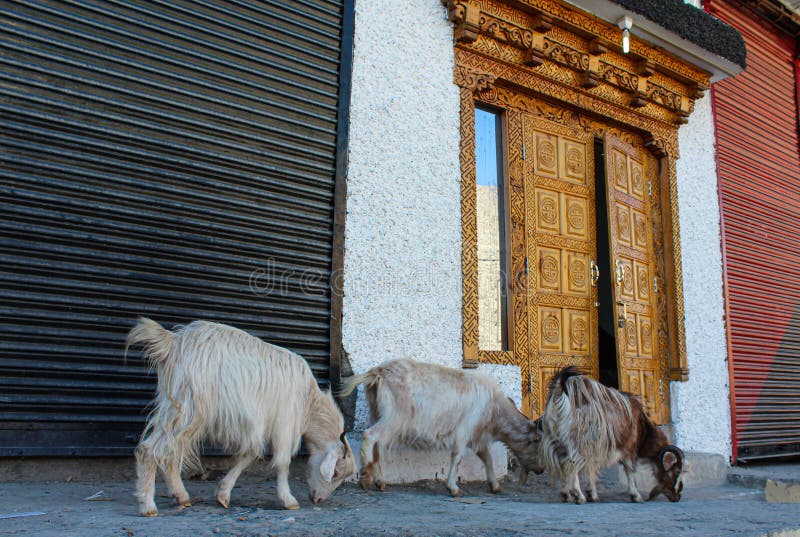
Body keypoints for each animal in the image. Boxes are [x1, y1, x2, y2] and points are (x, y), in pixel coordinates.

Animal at [125, 318, 355, 516]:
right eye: (335, 473)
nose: (318, 500)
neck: (309, 401)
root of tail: (173, 342)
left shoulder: (262, 425)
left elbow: (250, 454)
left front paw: (223, 495)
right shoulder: (285, 423)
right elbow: (282, 462)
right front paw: (288, 500)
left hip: (179, 406)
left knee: (171, 451)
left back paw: (181, 496)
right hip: (189, 406)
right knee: (150, 450)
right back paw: (147, 505)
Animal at [339, 358, 543, 497]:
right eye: (536, 442)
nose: (541, 471)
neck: (494, 406)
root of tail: (379, 371)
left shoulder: (477, 435)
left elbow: (487, 458)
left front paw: (495, 485)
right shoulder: (465, 428)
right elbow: (457, 456)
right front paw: (453, 487)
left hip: (378, 413)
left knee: (377, 446)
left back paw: (380, 481)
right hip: (394, 417)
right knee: (370, 436)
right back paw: (366, 477)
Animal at [538, 366, 685, 504]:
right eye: (677, 471)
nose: (677, 496)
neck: (641, 426)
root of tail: (561, 392)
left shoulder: (597, 448)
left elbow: (592, 469)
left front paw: (592, 494)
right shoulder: (628, 447)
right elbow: (629, 470)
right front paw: (636, 496)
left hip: (556, 439)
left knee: (561, 463)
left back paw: (566, 494)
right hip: (578, 441)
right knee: (571, 464)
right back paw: (579, 496)